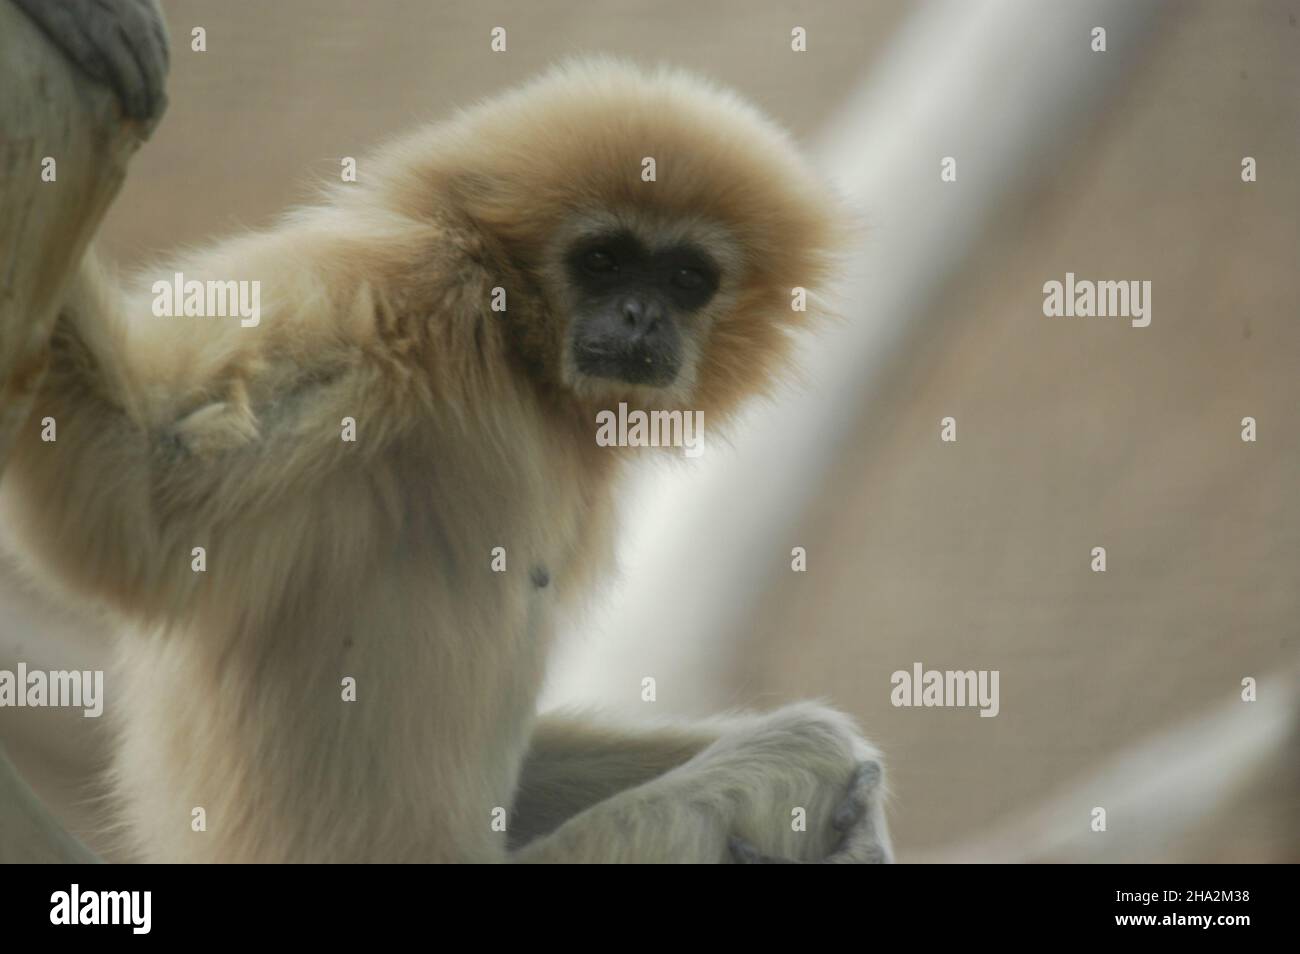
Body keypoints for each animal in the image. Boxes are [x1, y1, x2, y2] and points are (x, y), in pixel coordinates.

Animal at [1, 42, 892, 863]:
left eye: (685, 277)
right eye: (602, 260)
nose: (640, 315)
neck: (513, 358)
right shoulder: (403, 300)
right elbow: (142, 496)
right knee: (806, 749)